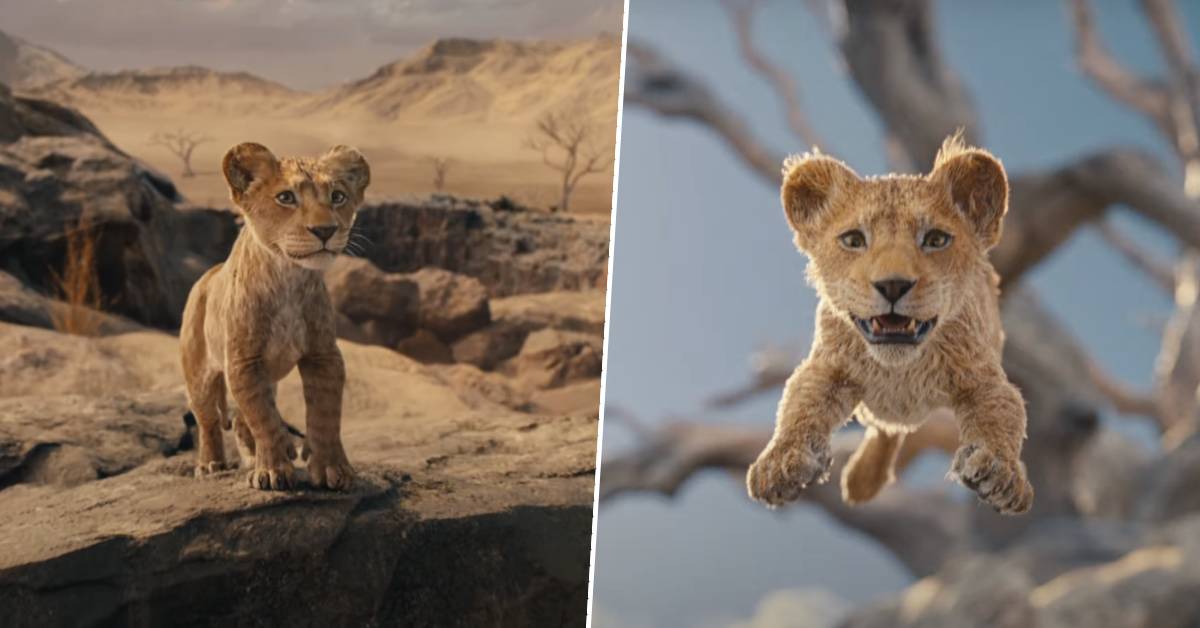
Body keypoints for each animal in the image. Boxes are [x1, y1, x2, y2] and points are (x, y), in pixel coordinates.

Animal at [179, 142, 369, 491]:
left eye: (337, 196)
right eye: (286, 197)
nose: (325, 230)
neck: (289, 278)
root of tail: (206, 275)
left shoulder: (323, 355)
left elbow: (325, 413)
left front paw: (332, 469)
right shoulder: (244, 360)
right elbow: (263, 418)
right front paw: (271, 471)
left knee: (242, 416)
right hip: (199, 372)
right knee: (208, 419)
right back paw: (211, 464)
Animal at [746, 135, 1033, 515]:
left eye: (936, 239)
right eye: (853, 240)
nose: (893, 285)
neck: (900, 370)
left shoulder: (984, 378)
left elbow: (1002, 415)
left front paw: (999, 472)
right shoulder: (828, 368)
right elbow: (798, 405)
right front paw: (780, 463)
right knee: (883, 429)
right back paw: (861, 480)